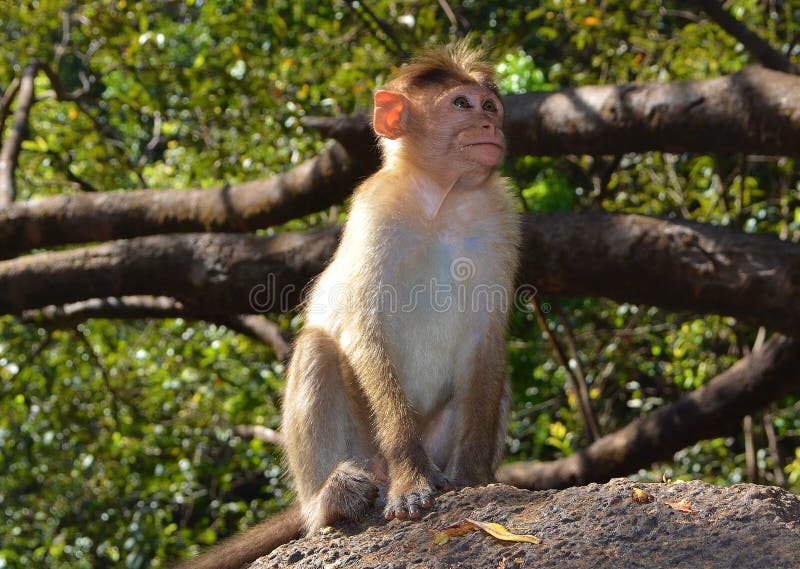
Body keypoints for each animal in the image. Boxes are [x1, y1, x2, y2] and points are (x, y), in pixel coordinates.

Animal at [176, 41, 520, 569]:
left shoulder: (498, 217)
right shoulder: (374, 212)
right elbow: (362, 328)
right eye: (462, 104)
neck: (441, 200)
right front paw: (410, 480)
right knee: (317, 348)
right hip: (361, 445)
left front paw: (477, 479)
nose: (489, 126)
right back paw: (333, 499)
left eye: (490, 106)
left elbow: (486, 339)